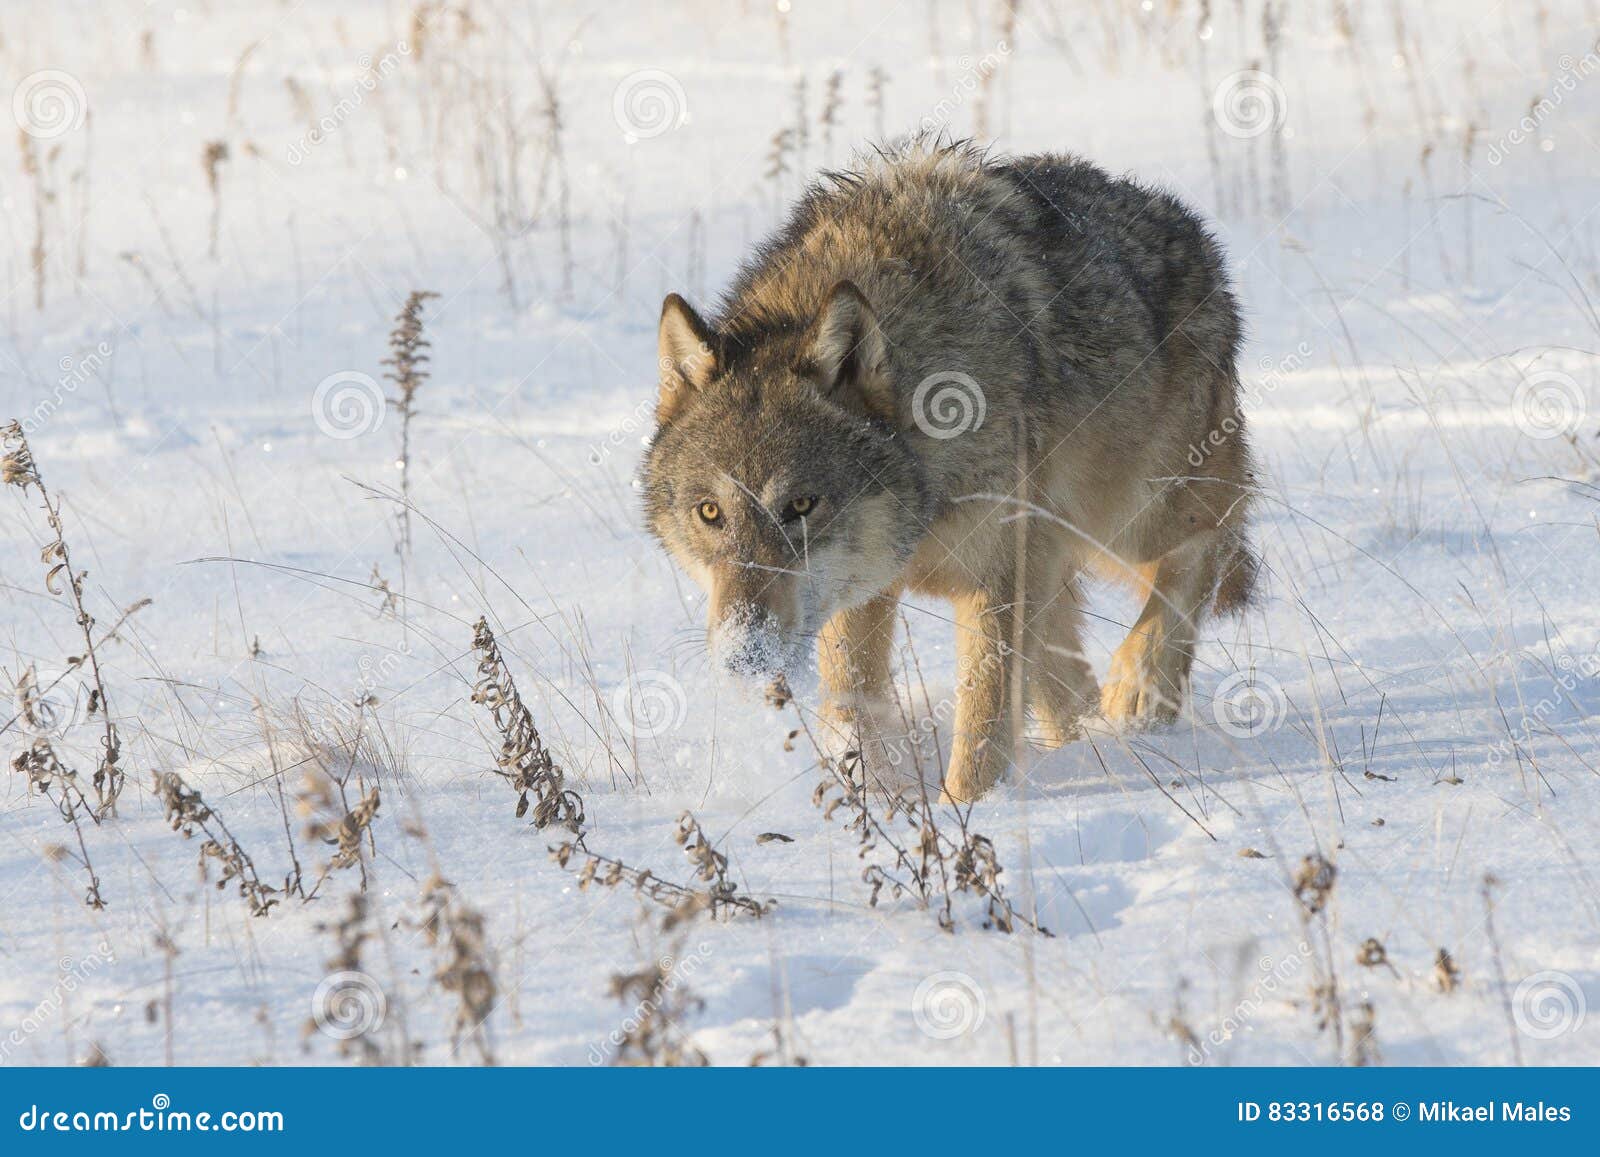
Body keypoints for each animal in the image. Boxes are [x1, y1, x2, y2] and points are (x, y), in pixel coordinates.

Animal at [641, 140, 1256, 802]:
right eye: (710, 512)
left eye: (800, 506)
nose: (744, 658)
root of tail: (1197, 235)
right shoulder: (866, 587)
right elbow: (854, 707)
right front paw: (879, 799)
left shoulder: (995, 580)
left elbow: (982, 726)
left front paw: (971, 811)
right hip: (1057, 559)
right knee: (1065, 683)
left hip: (1131, 518)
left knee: (1215, 533)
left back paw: (1139, 692)